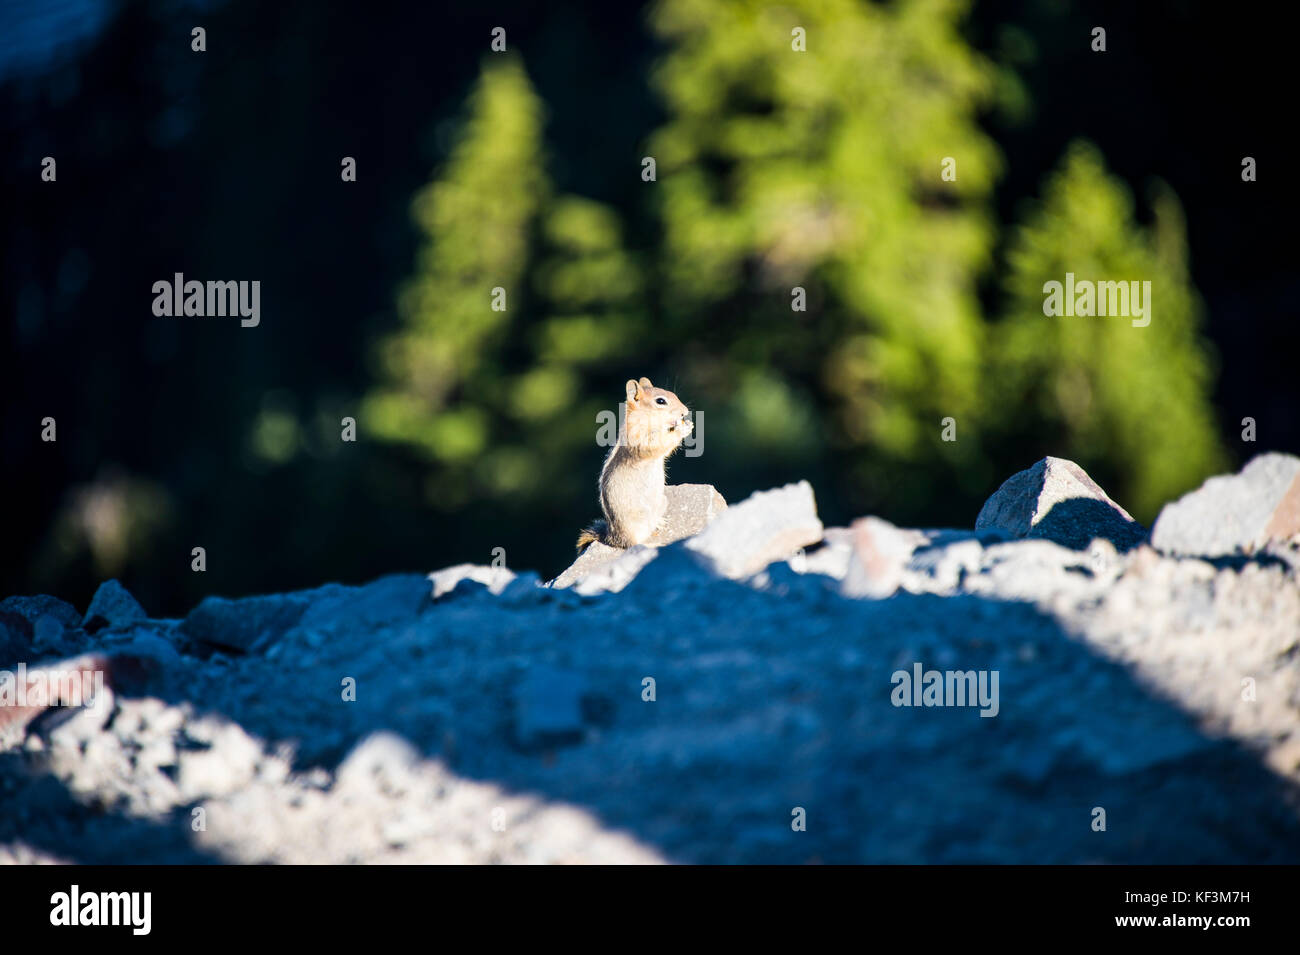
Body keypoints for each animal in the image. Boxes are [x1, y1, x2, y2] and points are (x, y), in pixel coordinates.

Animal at [577, 377, 693, 551]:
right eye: (661, 401)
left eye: (673, 394)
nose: (684, 412)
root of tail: (612, 538)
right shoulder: (640, 439)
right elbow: (656, 445)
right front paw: (681, 429)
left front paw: (687, 424)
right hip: (634, 527)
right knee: (633, 545)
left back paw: (659, 523)